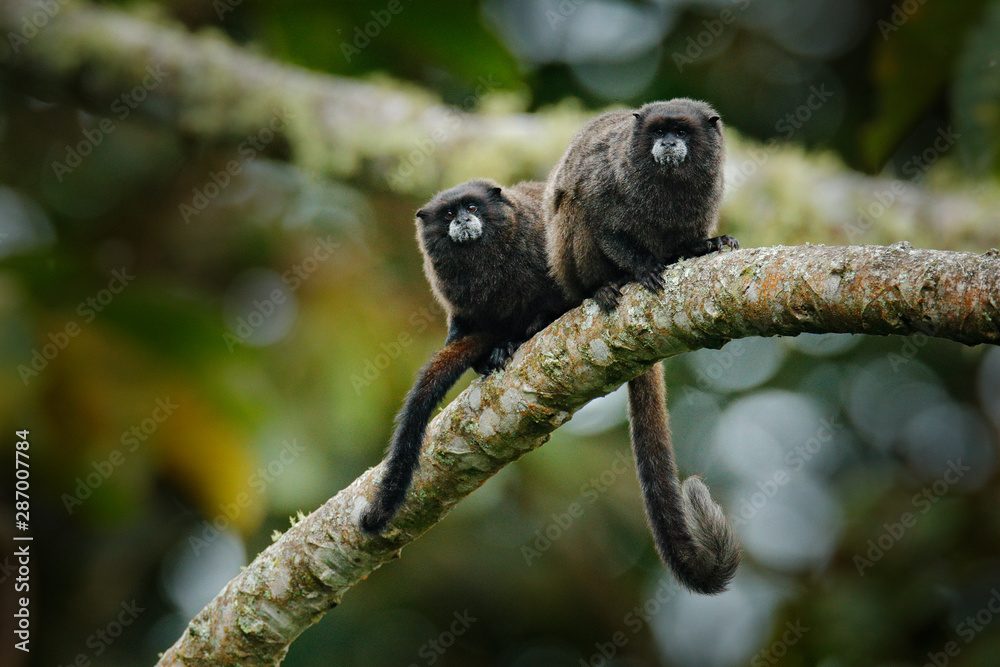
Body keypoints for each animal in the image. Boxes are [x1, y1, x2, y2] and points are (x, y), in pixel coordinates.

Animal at [360, 178, 571, 535]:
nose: (461, 220)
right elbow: (462, 321)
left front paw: (526, 332)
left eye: (472, 207)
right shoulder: (449, 287)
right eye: (448, 214)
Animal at [543, 98, 741, 594]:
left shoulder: (710, 188)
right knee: (572, 208)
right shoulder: (606, 177)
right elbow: (598, 218)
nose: (667, 143)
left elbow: (694, 231)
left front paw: (706, 245)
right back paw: (603, 286)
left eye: (682, 132)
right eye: (658, 131)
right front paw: (641, 267)